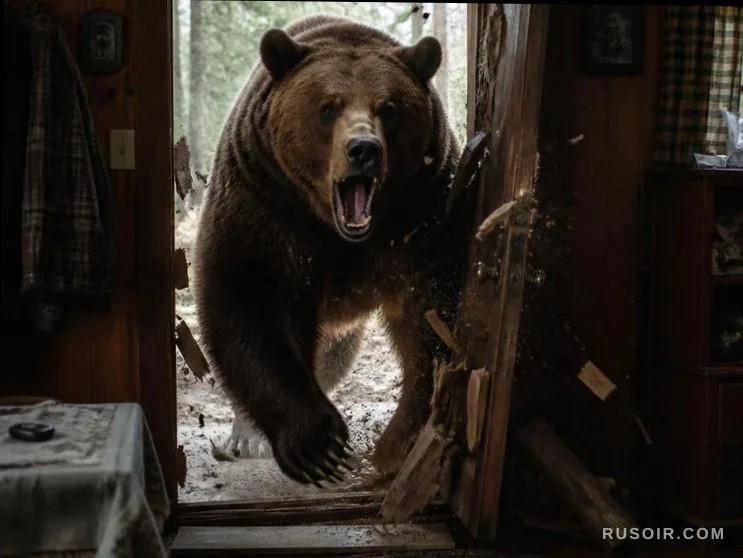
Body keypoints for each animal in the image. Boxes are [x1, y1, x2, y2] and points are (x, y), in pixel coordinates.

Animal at [192, 14, 475, 486]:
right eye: (328, 108)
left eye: (389, 109)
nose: (363, 149)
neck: (341, 231)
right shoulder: (266, 204)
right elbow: (250, 300)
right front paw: (319, 445)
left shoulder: (423, 218)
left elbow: (432, 318)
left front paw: (397, 442)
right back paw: (248, 437)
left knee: (333, 358)